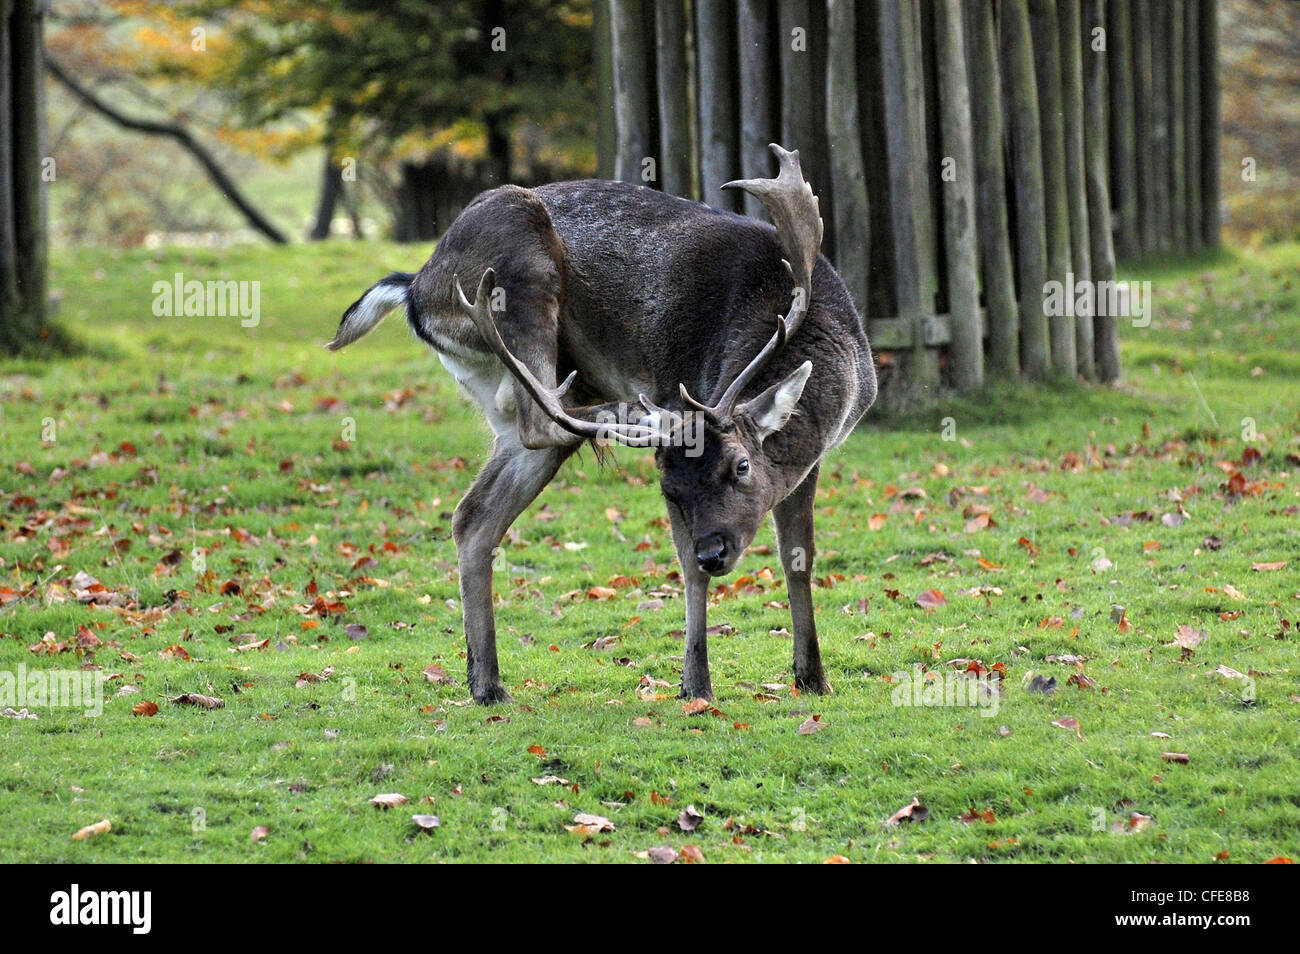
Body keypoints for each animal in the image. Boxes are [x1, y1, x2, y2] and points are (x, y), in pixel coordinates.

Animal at [327, 144, 876, 705]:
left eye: (741, 466)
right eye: (670, 490)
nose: (714, 552)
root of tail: (416, 289)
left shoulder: (811, 462)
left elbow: (799, 557)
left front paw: (813, 677)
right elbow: (687, 569)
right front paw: (696, 683)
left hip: (502, 408)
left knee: (473, 516)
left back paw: (487, 684)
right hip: (516, 268)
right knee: (538, 418)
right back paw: (626, 413)